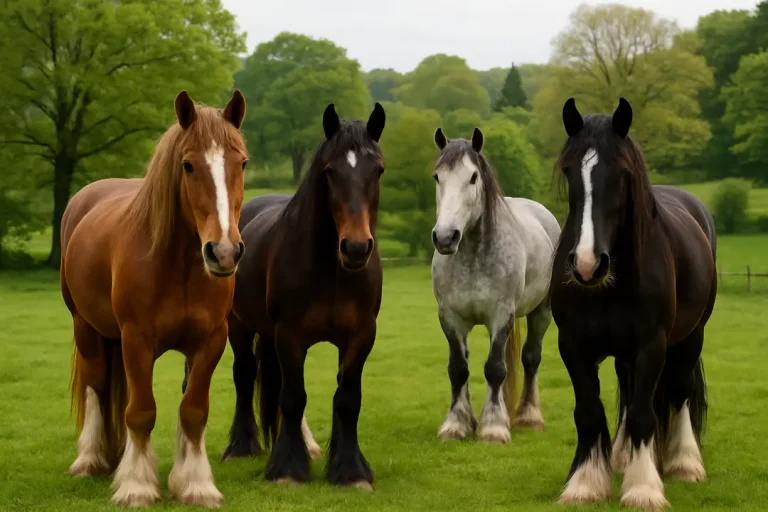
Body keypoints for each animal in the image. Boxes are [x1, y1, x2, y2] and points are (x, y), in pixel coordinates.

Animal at [61, 90, 248, 508]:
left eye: (242, 162)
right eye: (188, 165)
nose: (224, 252)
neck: (179, 266)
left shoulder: (211, 341)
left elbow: (193, 410)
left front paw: (196, 484)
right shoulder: (137, 340)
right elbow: (141, 411)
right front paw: (136, 486)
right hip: (85, 326)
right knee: (96, 385)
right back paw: (91, 459)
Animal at [212, 102, 386, 489]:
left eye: (379, 169)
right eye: (330, 171)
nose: (355, 248)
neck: (331, 270)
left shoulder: (360, 336)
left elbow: (347, 399)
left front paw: (349, 470)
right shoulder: (289, 335)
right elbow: (292, 398)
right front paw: (288, 470)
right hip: (240, 326)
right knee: (244, 374)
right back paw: (241, 447)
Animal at [430, 128, 560, 444]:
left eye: (473, 177)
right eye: (438, 177)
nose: (445, 237)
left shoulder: (502, 315)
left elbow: (494, 368)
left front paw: (493, 428)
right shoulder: (450, 317)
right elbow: (459, 369)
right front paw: (457, 424)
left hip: (541, 312)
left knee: (530, 357)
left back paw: (528, 416)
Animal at [551, 98, 716, 510]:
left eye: (622, 173)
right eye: (569, 170)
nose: (587, 264)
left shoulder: (651, 346)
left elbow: (645, 414)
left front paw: (643, 489)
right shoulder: (572, 345)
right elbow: (589, 412)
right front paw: (585, 484)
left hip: (690, 338)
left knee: (680, 391)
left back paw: (684, 463)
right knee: (628, 390)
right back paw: (623, 456)